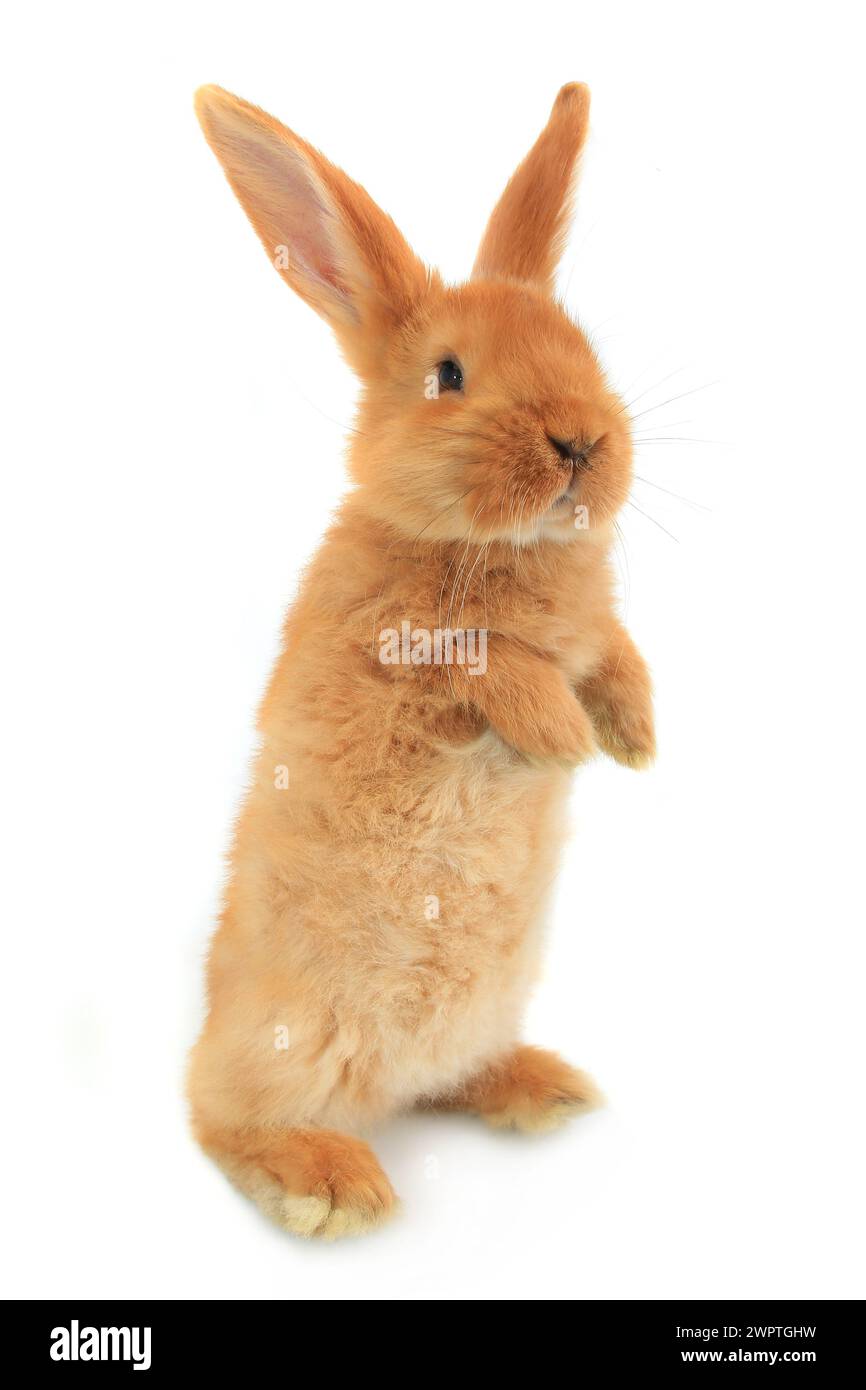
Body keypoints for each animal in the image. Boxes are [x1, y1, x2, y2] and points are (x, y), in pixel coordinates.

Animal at [189, 81, 655, 1240]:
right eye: (448, 376)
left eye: (584, 348)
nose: (581, 441)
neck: (495, 544)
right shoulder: (391, 650)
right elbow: (487, 661)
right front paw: (562, 735)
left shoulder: (596, 628)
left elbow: (613, 650)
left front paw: (634, 734)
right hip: (286, 1042)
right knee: (218, 1118)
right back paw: (329, 1180)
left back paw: (538, 1086)